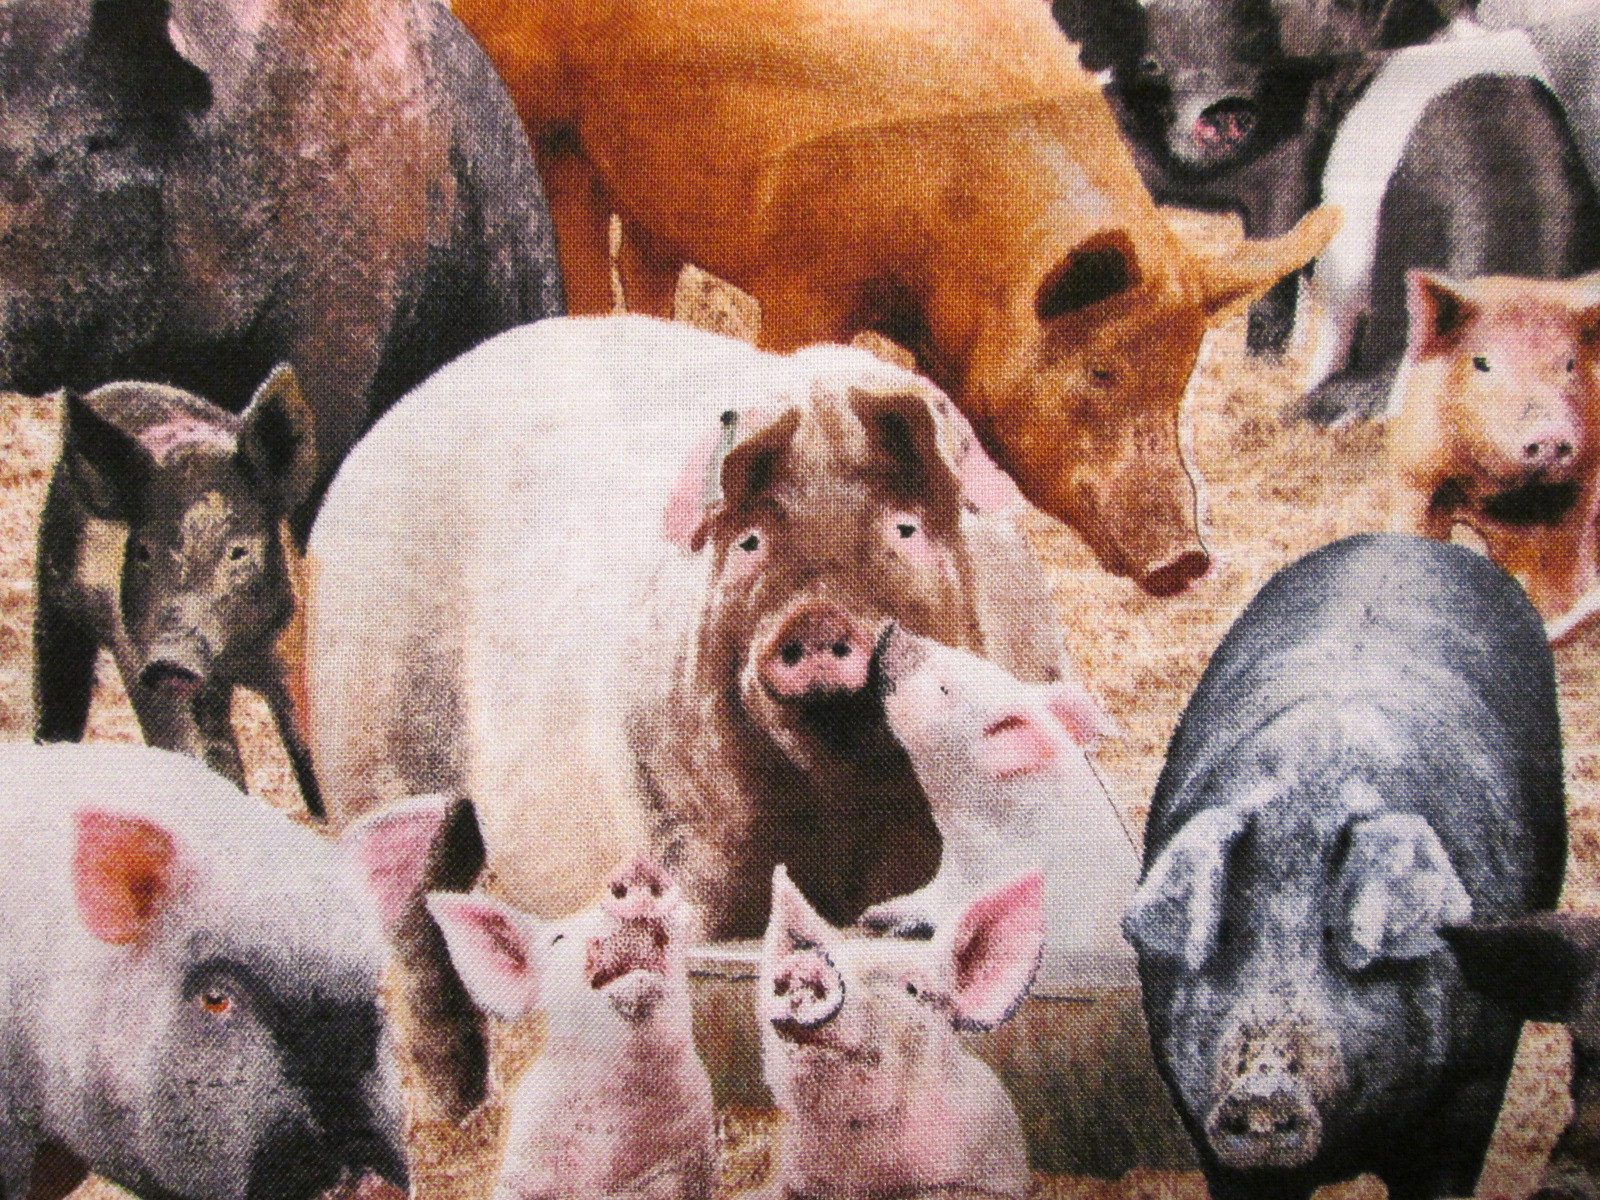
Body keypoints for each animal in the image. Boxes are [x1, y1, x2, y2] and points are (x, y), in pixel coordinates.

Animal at [34, 366, 323, 814]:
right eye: (142, 551)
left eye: (239, 550)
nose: (173, 657)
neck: (235, 657)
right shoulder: (138, 652)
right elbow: (189, 746)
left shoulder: (295, 647)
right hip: (54, 602)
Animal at [307, 315, 1071, 1114]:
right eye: (749, 543)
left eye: (906, 529)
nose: (818, 617)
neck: (845, 809)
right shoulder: (679, 838)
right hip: (369, 748)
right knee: (417, 941)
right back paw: (456, 1113)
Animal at [453, 0, 1342, 594]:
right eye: (1101, 371)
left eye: (1182, 379)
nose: (1188, 559)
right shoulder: (802, 278)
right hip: (553, 127)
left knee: (644, 267)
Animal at [1122, 533, 1566, 1200]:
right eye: (1230, 932)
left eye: (1337, 936)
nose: (1263, 1088)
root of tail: (1403, 539)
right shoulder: (1195, 1109)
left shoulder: (1476, 1085)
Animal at [1386, 271, 1600, 641]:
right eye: (1482, 363)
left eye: (1570, 364)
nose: (1549, 433)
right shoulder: (1413, 467)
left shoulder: (1581, 484)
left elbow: (1558, 571)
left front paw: (1550, 618)